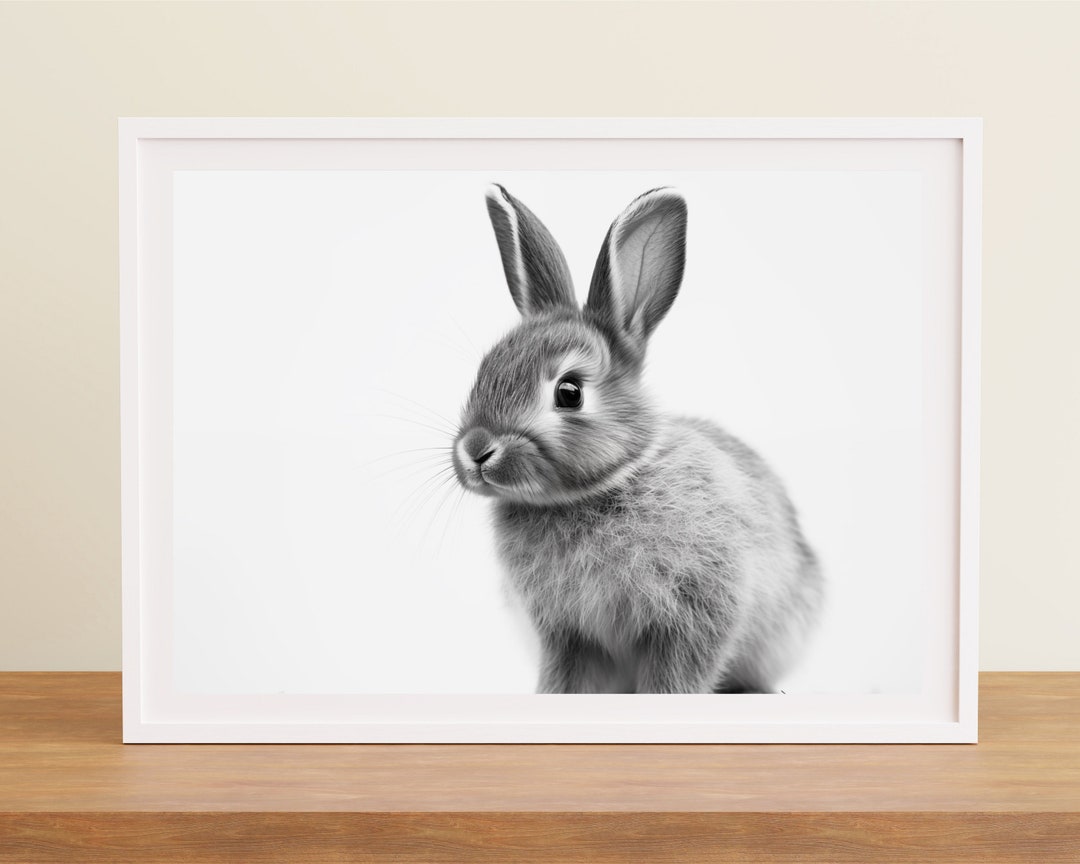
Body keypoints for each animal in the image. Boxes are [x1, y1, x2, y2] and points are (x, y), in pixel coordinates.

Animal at [451, 184, 823, 694]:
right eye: (484, 371)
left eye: (569, 392)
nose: (475, 451)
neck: (584, 496)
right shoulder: (566, 633)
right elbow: (565, 677)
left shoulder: (696, 609)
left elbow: (678, 673)